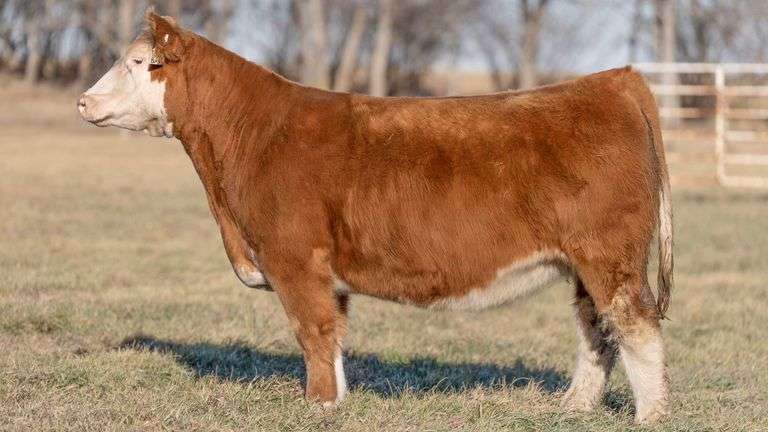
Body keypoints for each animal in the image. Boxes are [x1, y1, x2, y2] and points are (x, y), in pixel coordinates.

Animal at [78, 12, 674, 424]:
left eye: (139, 63)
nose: (84, 102)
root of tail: (614, 81)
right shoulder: (323, 272)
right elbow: (334, 334)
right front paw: (336, 402)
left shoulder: (294, 260)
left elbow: (313, 331)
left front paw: (316, 407)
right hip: (585, 265)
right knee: (596, 329)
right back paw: (573, 406)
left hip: (609, 257)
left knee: (635, 326)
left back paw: (650, 416)